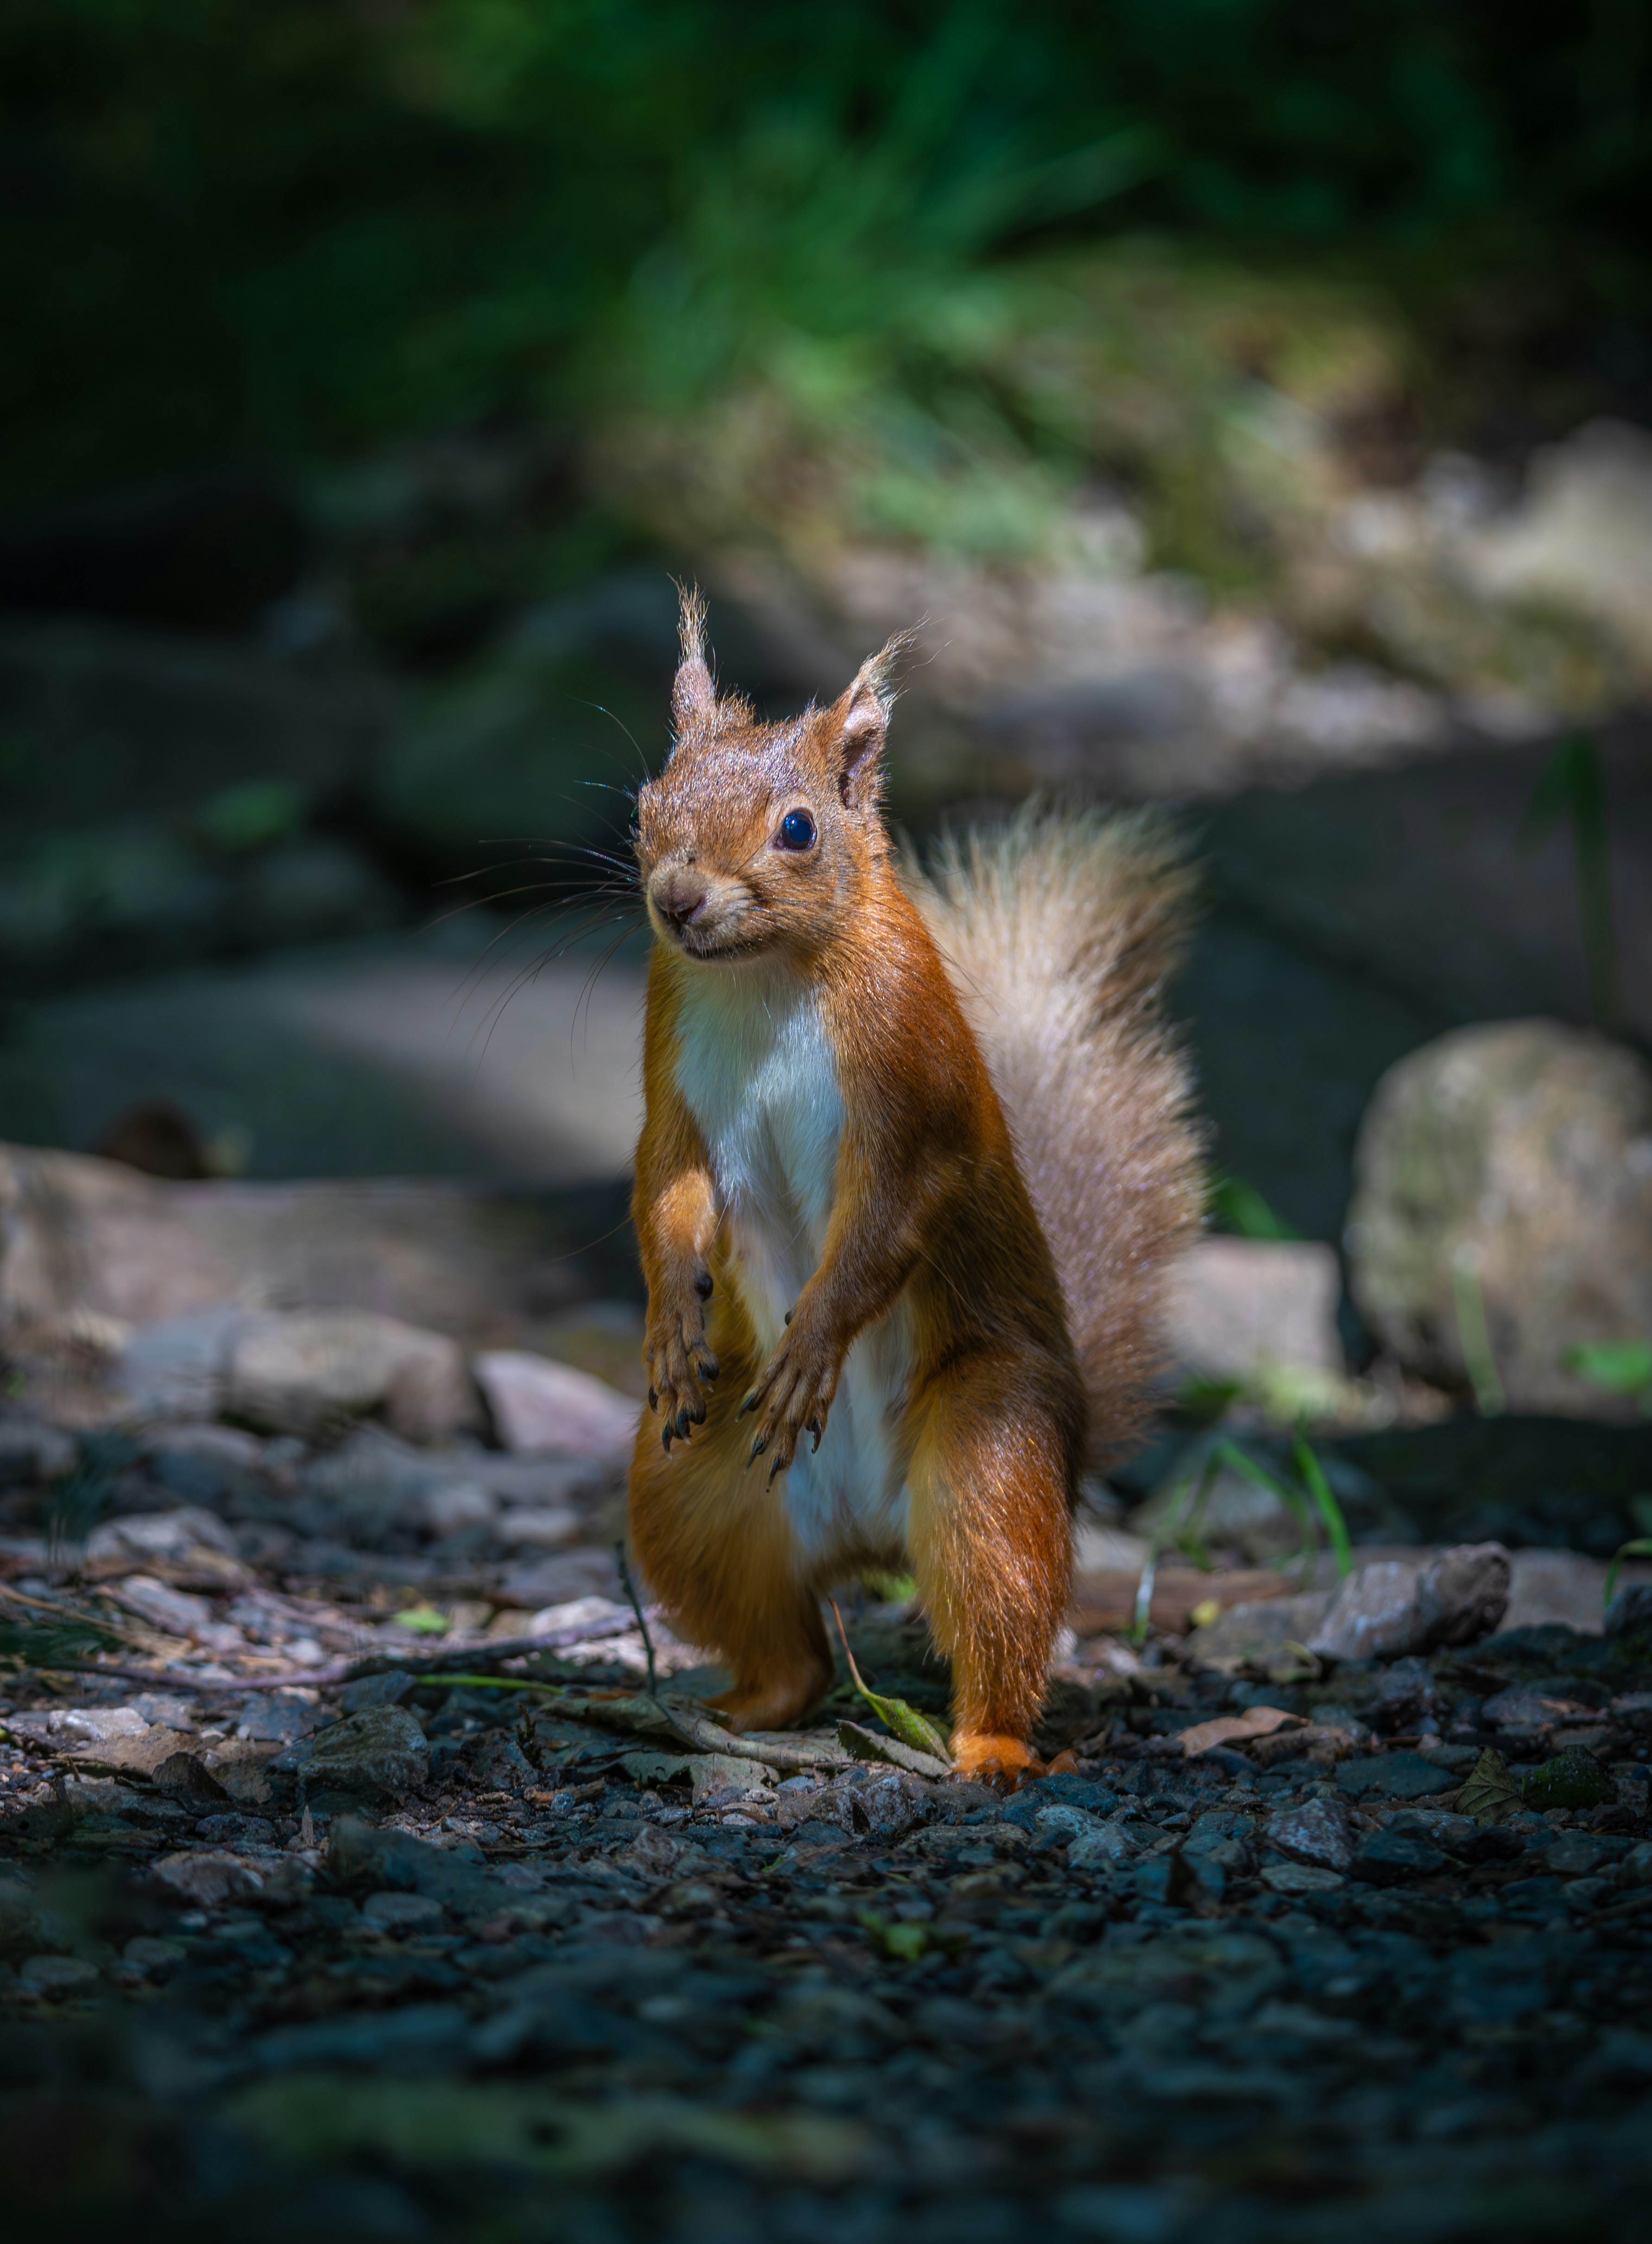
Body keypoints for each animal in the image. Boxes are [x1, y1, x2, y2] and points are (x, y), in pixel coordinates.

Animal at [627, 587, 1203, 1780]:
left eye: (799, 828)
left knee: (997, 1604)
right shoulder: (672, 1079)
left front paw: (813, 1344)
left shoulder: (911, 1076)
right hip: (686, 1494)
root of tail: (868, 1534)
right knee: (787, 1647)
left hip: (990, 1450)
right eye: (647, 801)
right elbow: (668, 1193)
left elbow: (891, 1216)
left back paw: (985, 1749)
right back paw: (741, 1706)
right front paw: (669, 1321)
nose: (677, 900)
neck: (762, 980)